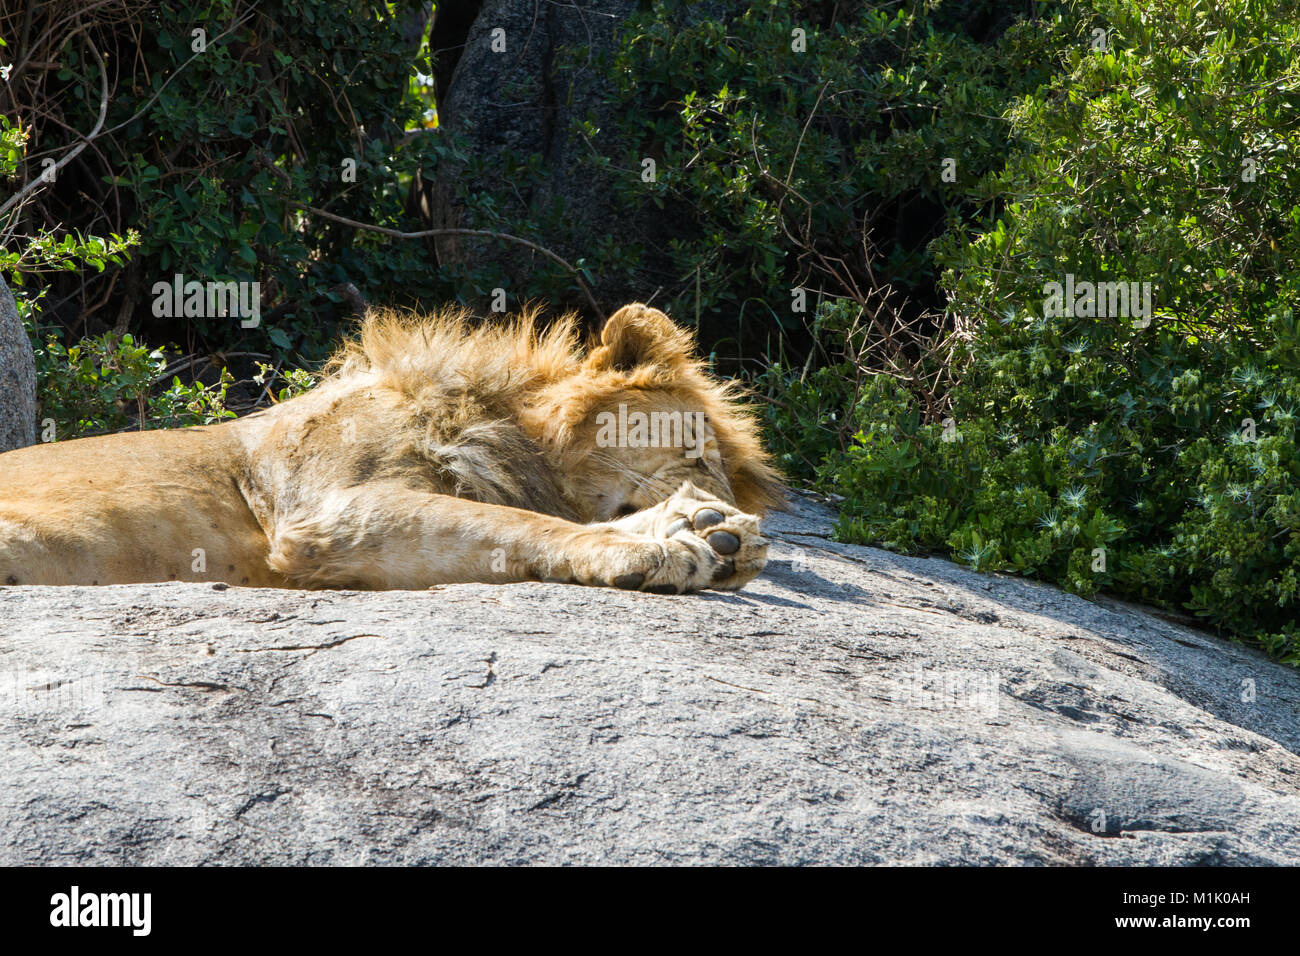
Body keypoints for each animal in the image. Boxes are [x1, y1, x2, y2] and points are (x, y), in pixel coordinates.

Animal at [0, 303, 785, 592]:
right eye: (696, 449)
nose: (717, 498)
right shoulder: (330, 519)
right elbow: (520, 523)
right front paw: (668, 546)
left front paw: (717, 533)